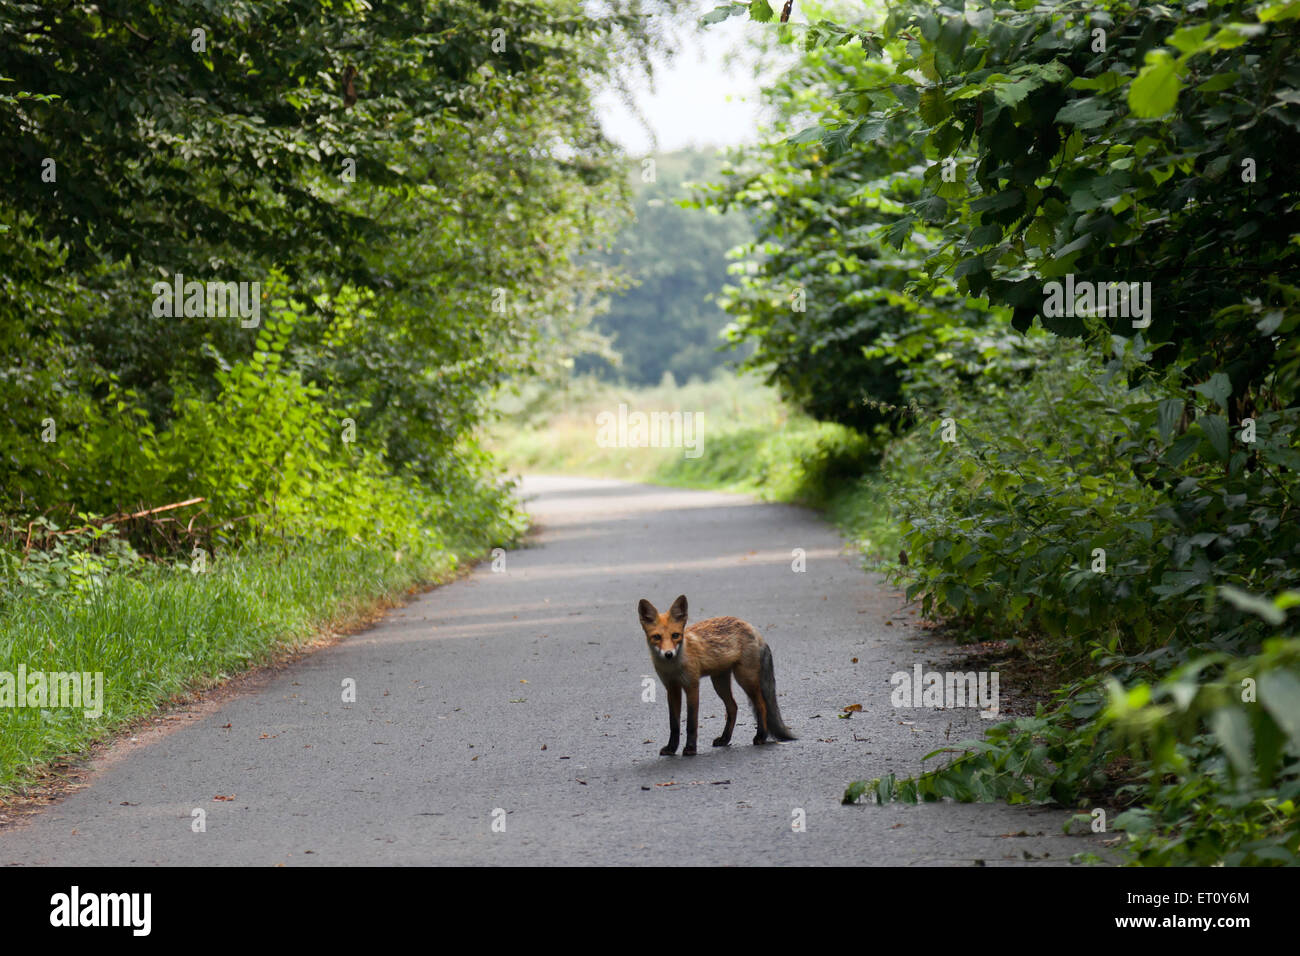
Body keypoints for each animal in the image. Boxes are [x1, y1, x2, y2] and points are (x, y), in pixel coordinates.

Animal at [638, 594, 795, 756]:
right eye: (657, 637)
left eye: (675, 635)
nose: (668, 654)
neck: (674, 667)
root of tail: (752, 628)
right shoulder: (672, 688)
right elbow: (674, 725)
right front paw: (671, 748)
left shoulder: (692, 686)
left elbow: (691, 723)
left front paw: (690, 748)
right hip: (719, 683)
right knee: (733, 707)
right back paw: (725, 739)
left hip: (745, 679)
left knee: (761, 705)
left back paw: (760, 736)